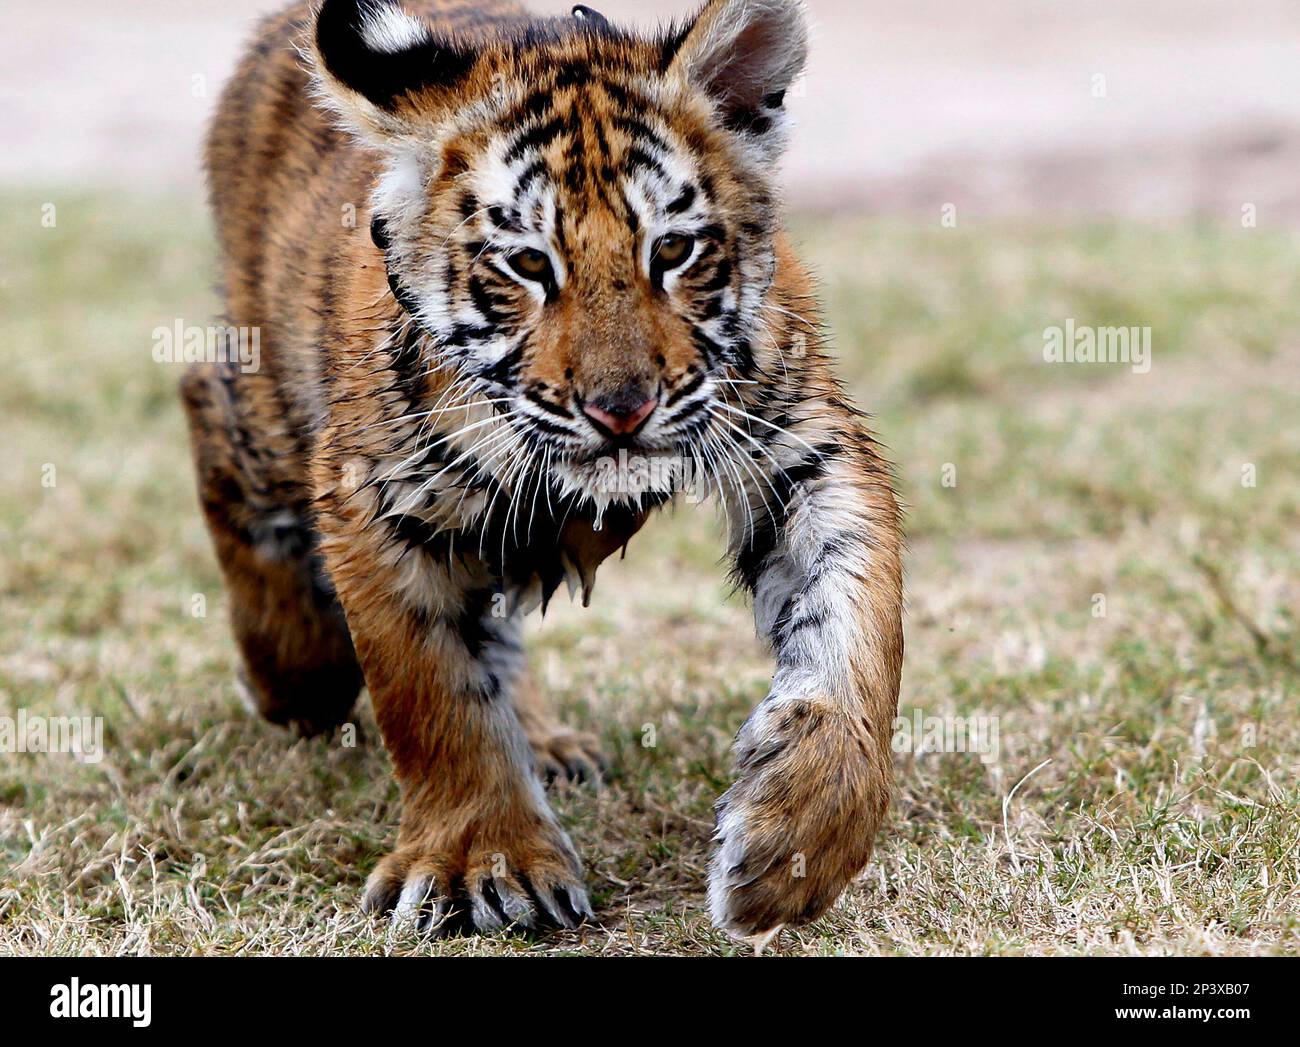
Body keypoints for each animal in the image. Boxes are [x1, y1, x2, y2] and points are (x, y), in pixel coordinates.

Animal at [182, 0, 903, 944]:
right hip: (266, 399)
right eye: (528, 263)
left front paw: (794, 845)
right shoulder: (373, 492)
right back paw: (296, 677)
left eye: (673, 250)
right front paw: (485, 861)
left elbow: (856, 630)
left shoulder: (804, 448)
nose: (620, 408)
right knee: (205, 399)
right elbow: (432, 691)